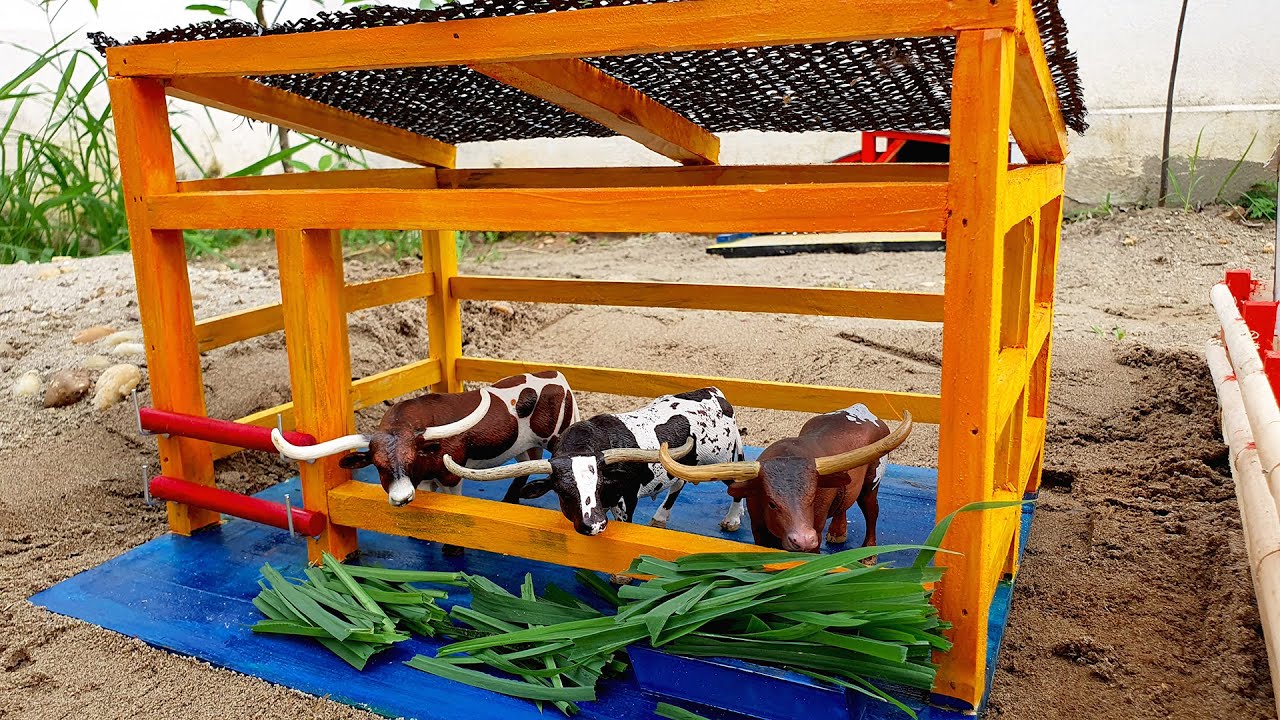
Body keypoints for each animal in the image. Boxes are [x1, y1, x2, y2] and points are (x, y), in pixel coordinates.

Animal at [270, 372, 578, 508]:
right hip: (526, 444)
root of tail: (557, 375)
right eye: (378, 466)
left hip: (556, 437)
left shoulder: (451, 477)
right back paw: (510, 499)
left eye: (410, 459)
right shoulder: (428, 479)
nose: (402, 498)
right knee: (526, 464)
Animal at [443, 387, 746, 537]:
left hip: (721, 457)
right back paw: (660, 517)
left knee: (737, 483)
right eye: (564, 493)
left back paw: (732, 519)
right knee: (678, 483)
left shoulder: (626, 501)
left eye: (601, 487)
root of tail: (716, 393)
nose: (595, 525)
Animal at [656, 404, 912, 554]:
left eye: (812, 498)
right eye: (772, 503)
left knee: (871, 511)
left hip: (872, 483)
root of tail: (865, 411)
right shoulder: (759, 530)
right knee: (844, 503)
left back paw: (868, 555)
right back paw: (838, 534)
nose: (803, 540)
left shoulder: (815, 531)